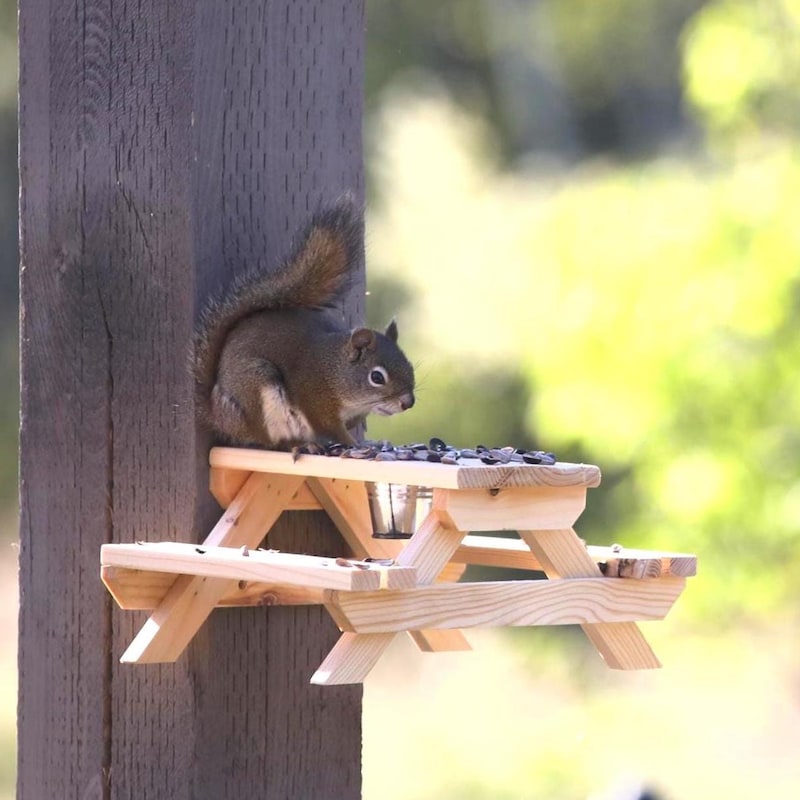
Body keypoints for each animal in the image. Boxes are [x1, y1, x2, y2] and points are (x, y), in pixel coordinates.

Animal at [192, 198, 416, 451]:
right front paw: (355, 446)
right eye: (377, 378)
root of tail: (219, 416)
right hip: (257, 391)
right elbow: (332, 428)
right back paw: (300, 445)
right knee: (270, 440)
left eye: (410, 367)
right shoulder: (315, 399)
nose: (408, 402)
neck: (335, 371)